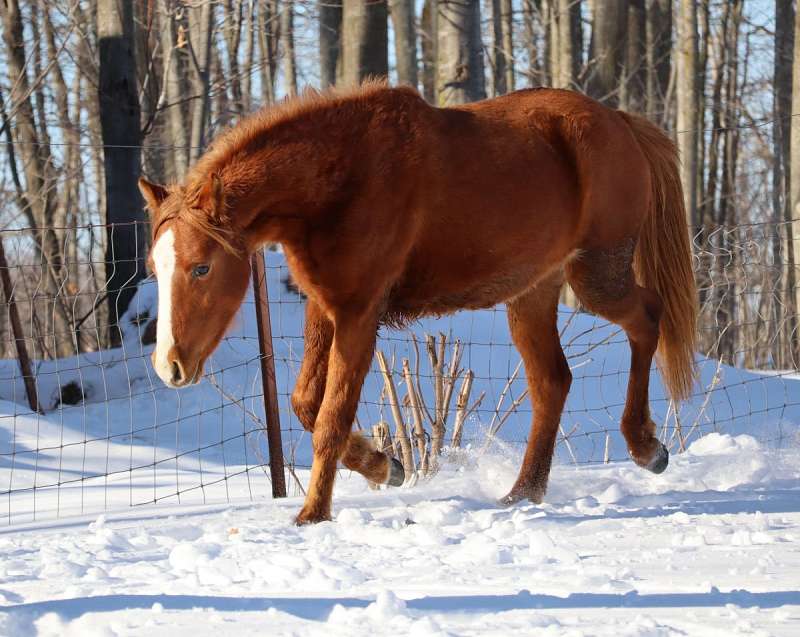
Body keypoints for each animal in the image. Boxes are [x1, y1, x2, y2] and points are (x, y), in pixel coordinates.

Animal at [140, 81, 697, 526]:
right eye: (156, 268)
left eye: (201, 267)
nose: (169, 366)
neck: (344, 177)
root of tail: (620, 122)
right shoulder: (326, 307)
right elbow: (304, 404)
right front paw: (386, 465)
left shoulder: (360, 312)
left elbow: (330, 417)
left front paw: (313, 515)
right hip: (532, 293)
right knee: (553, 382)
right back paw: (522, 493)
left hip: (597, 276)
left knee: (648, 319)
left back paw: (645, 447)